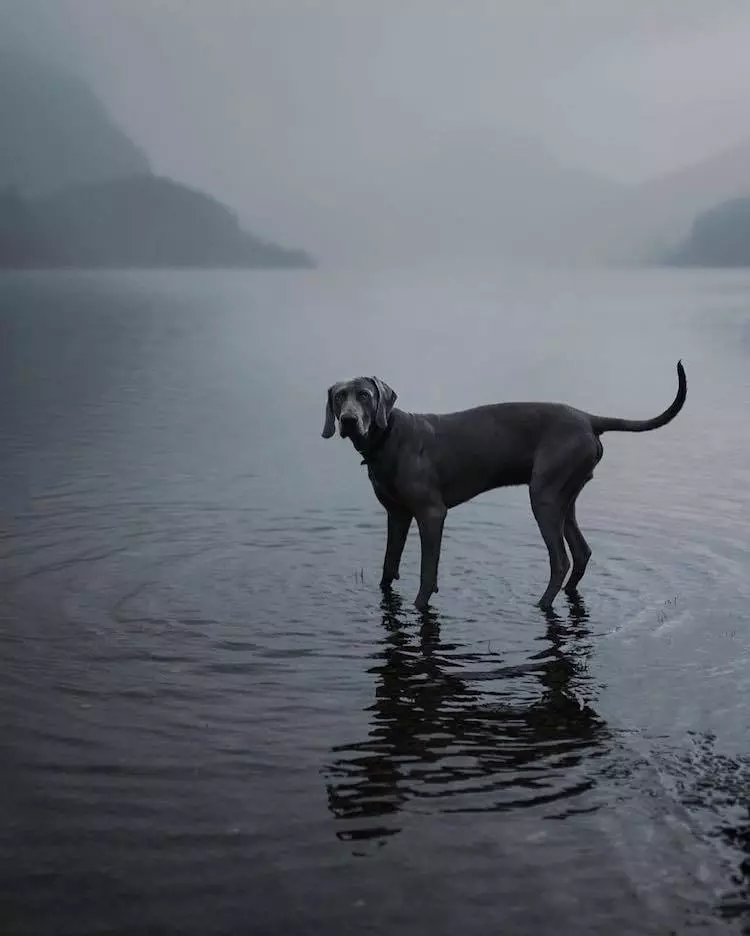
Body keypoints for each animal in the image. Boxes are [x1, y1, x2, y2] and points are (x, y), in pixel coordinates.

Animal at [322, 366, 688, 616]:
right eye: (339, 397)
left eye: (365, 395)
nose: (349, 420)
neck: (387, 439)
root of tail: (587, 418)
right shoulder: (396, 514)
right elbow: (388, 565)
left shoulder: (431, 514)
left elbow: (427, 571)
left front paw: (420, 604)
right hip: (565, 496)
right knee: (581, 552)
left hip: (544, 496)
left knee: (560, 559)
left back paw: (541, 604)